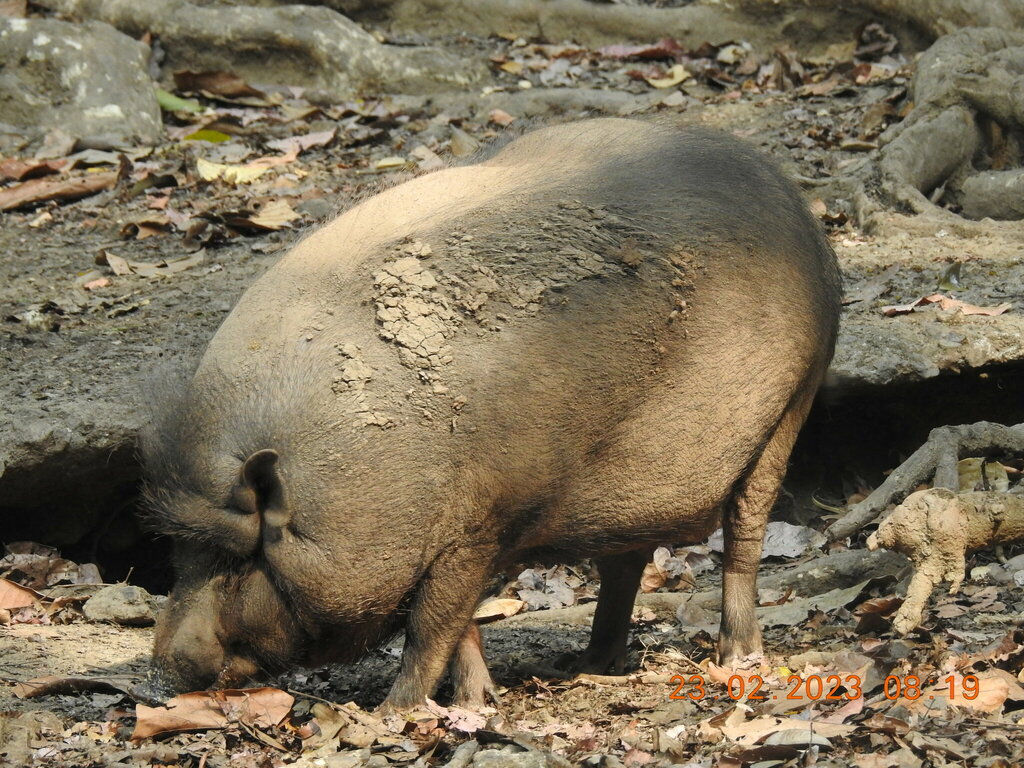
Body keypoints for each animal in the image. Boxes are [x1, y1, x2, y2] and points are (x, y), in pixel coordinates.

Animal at [142, 118, 841, 710]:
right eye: (180, 551)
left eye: (239, 557)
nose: (165, 664)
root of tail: (793, 200)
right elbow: (462, 627)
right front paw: (477, 705)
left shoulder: (478, 525)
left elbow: (433, 626)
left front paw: (397, 714)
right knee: (624, 562)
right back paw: (586, 667)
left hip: (791, 406)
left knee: (744, 536)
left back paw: (735, 659)